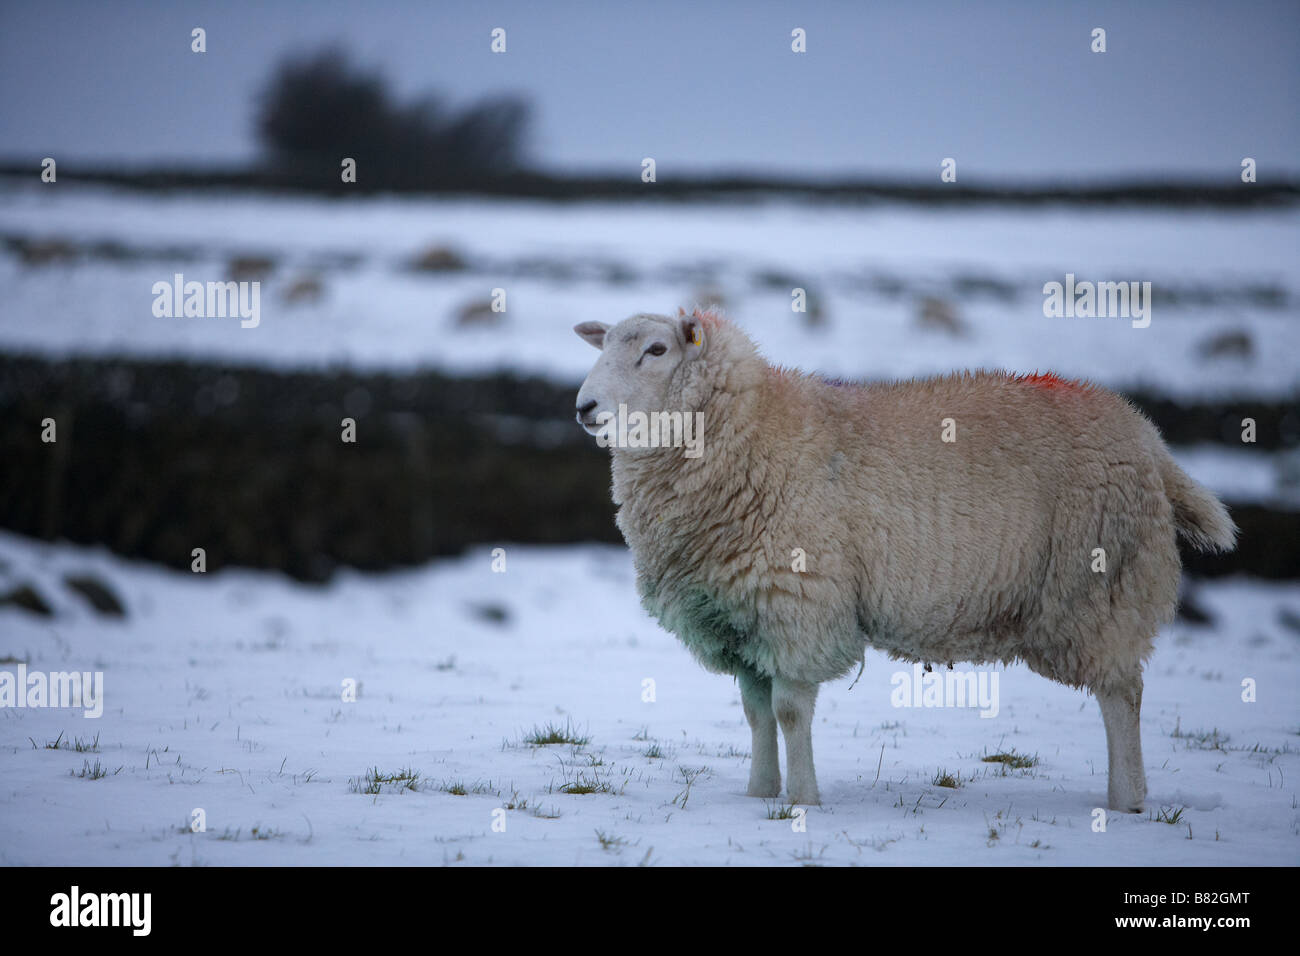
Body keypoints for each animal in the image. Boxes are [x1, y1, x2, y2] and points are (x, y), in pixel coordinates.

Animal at [573, 308, 1237, 811]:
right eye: (604, 345)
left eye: (656, 349)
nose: (583, 407)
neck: (749, 430)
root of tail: (1148, 438)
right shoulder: (741, 614)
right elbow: (756, 714)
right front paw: (759, 794)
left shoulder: (799, 600)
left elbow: (789, 712)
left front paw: (802, 800)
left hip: (1100, 587)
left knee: (1123, 694)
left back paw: (1125, 801)